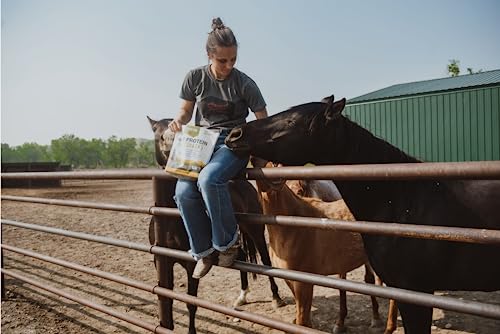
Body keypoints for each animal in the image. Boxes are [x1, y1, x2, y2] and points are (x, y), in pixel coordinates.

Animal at [146, 117, 284, 334]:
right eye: (155, 131)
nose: (169, 140)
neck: (169, 218)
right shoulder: (162, 260)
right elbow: (166, 297)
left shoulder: (191, 264)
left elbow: (190, 303)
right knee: (241, 256)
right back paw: (242, 297)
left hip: (255, 231)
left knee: (265, 260)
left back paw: (276, 298)